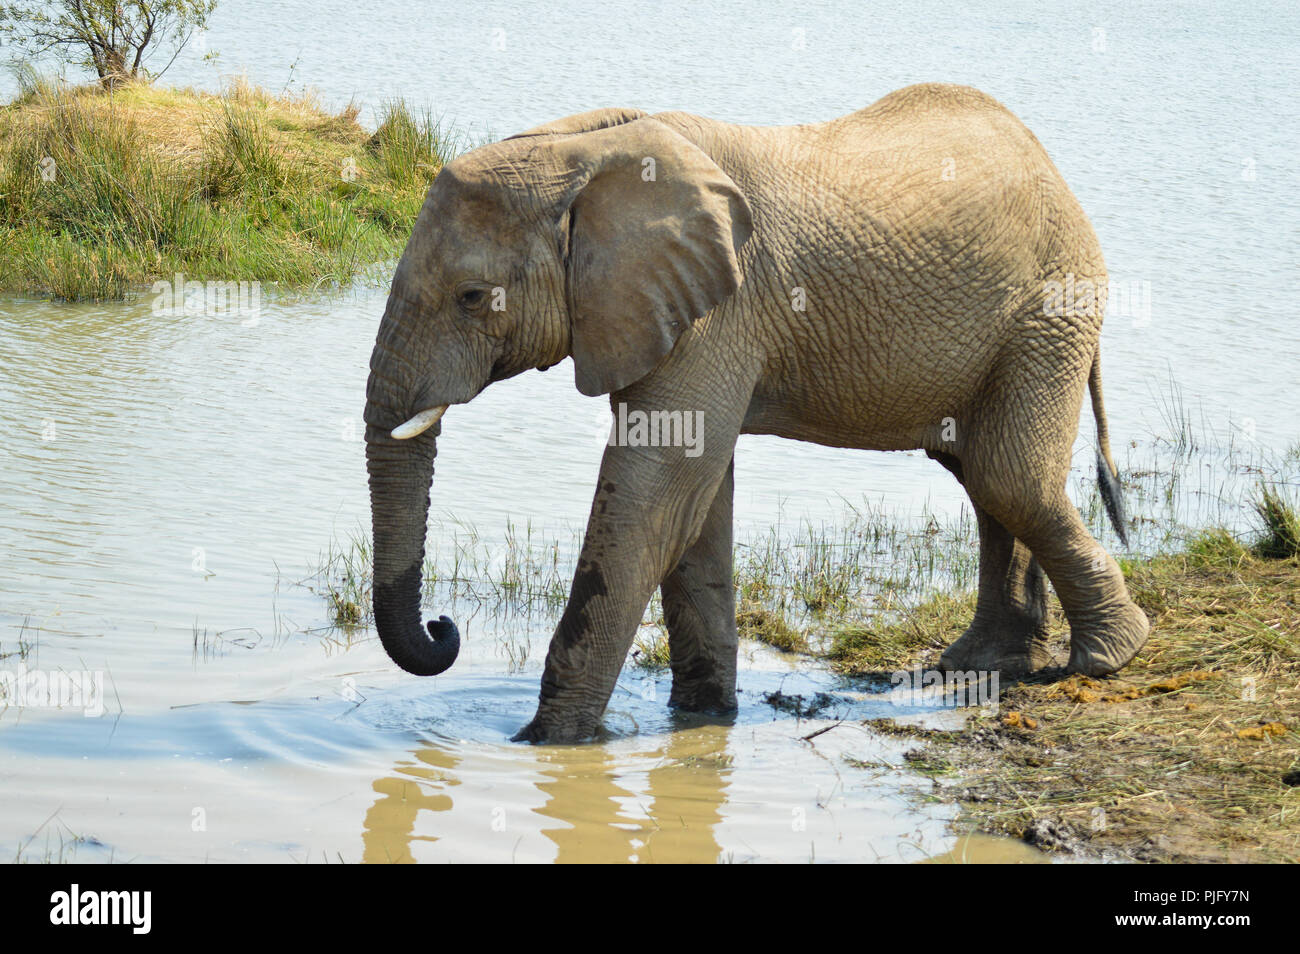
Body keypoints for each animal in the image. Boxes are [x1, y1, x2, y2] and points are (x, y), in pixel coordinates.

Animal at [364, 82, 1150, 744]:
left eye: (472, 297)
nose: (443, 627)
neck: (582, 152)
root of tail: (1050, 166)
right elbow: (694, 504)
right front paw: (702, 719)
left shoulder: (718, 312)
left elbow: (658, 491)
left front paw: (547, 743)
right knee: (983, 476)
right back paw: (977, 665)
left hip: (1050, 310)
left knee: (1008, 475)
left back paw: (1108, 656)